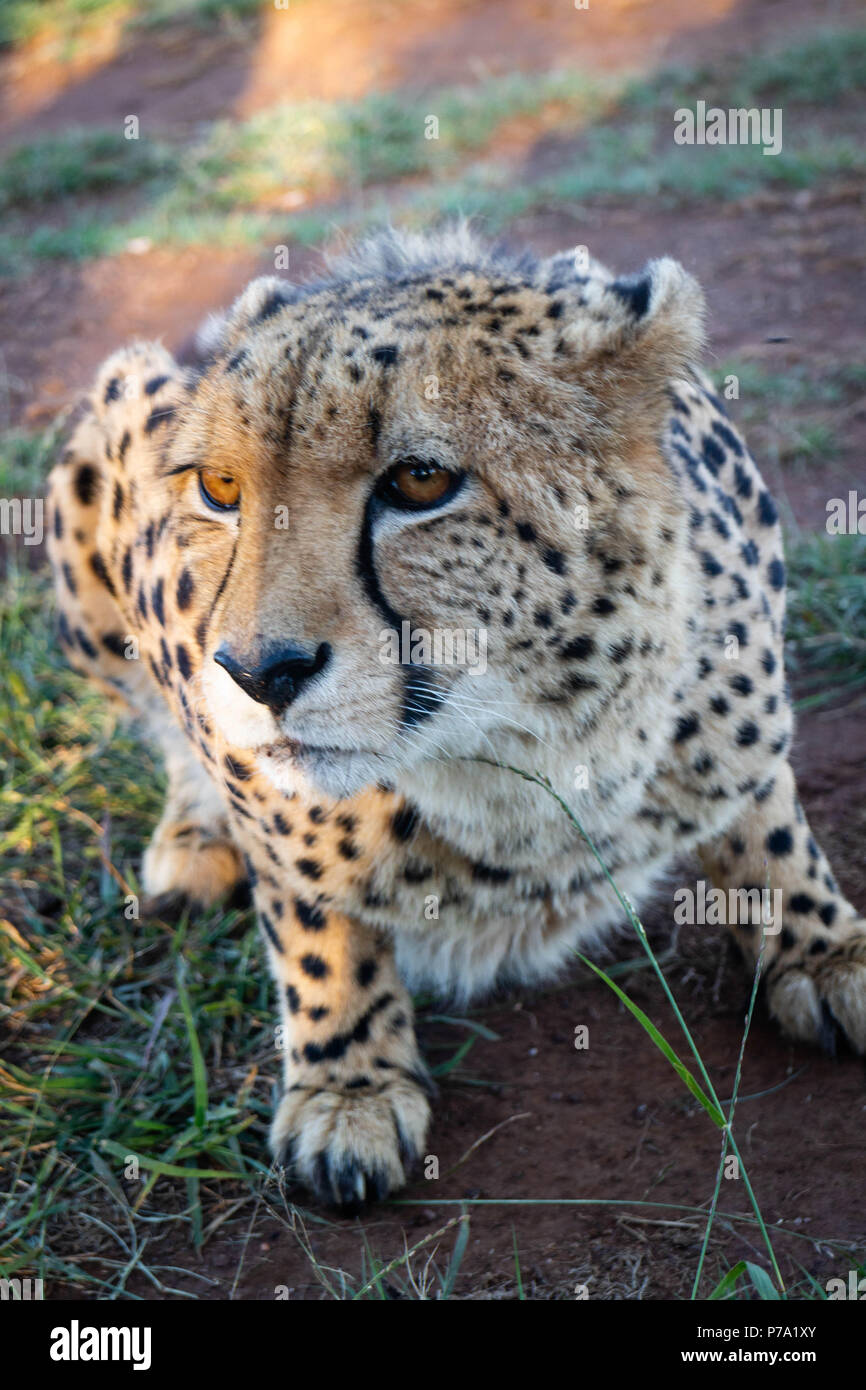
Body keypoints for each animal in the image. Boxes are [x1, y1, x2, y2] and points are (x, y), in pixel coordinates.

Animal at [45, 225, 866, 1209]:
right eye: (217, 486)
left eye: (421, 480)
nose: (256, 673)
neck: (519, 745)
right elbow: (307, 908)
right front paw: (349, 1086)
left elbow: (763, 802)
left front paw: (822, 948)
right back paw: (194, 838)